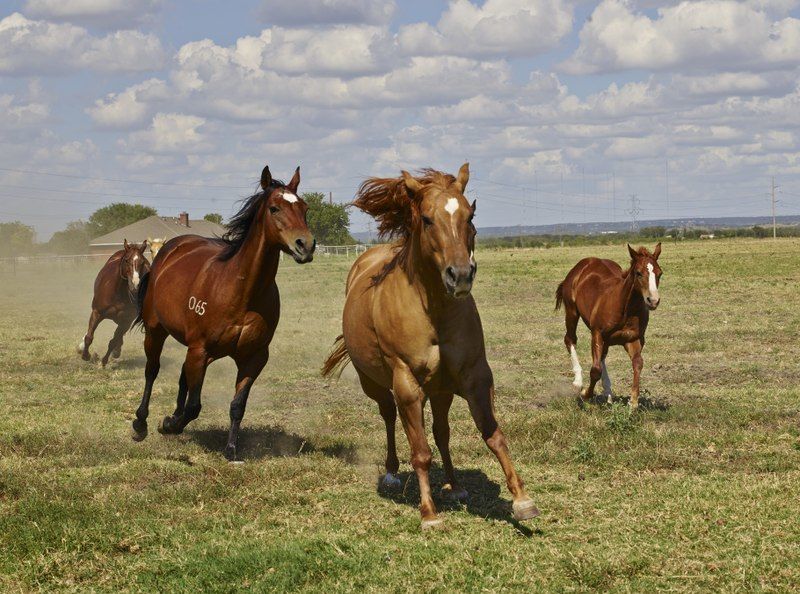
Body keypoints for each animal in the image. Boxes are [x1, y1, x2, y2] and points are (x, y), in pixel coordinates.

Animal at [130, 164, 316, 460]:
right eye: (274, 208)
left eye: (304, 207)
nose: (305, 245)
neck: (241, 292)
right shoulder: (200, 349)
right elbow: (194, 406)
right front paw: (169, 425)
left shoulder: (253, 358)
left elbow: (237, 405)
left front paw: (230, 449)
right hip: (157, 331)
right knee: (152, 370)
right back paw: (141, 423)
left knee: (183, 376)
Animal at [322, 164, 539, 530]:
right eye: (426, 219)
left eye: (469, 215)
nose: (460, 275)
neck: (433, 310)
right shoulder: (407, 383)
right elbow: (420, 452)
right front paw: (429, 513)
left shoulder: (474, 376)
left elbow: (492, 435)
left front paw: (522, 500)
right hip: (377, 384)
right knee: (390, 417)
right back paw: (392, 473)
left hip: (440, 391)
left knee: (441, 431)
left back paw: (454, 485)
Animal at [555, 243, 662, 409]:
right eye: (638, 273)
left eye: (659, 273)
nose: (653, 301)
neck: (625, 309)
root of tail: (583, 264)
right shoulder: (597, 333)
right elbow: (595, 370)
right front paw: (585, 394)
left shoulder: (634, 339)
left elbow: (638, 363)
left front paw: (633, 402)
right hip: (572, 311)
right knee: (570, 339)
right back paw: (578, 381)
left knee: (603, 356)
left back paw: (608, 392)